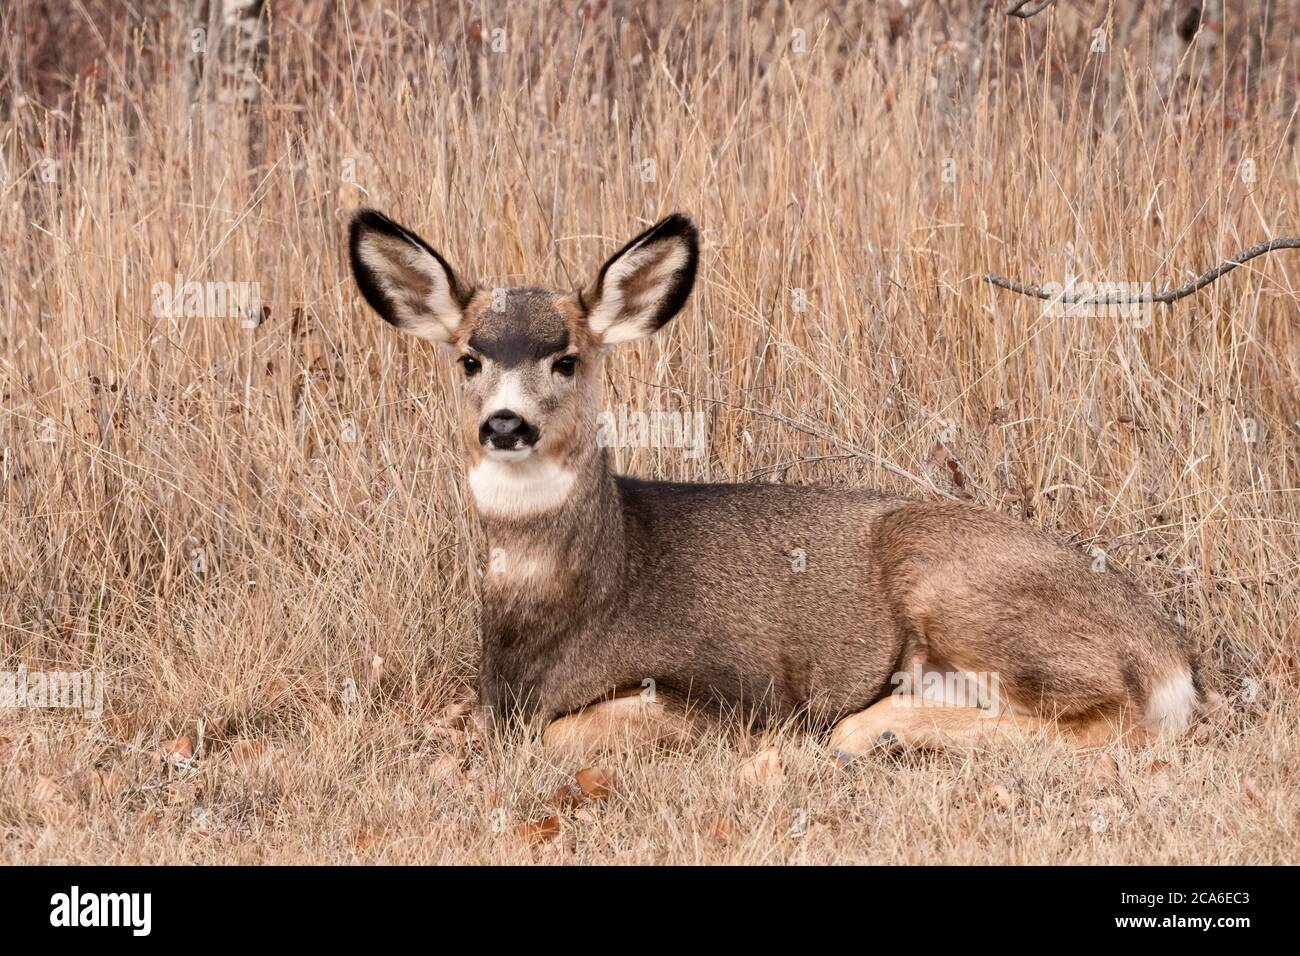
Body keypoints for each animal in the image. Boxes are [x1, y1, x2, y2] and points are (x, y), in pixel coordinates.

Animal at [348, 209, 1201, 760]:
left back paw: (868, 730)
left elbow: (565, 735)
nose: (505, 424)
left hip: (955, 583)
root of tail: (1171, 658)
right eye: (469, 357)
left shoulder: (724, 690)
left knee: (1114, 721)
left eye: (567, 359)